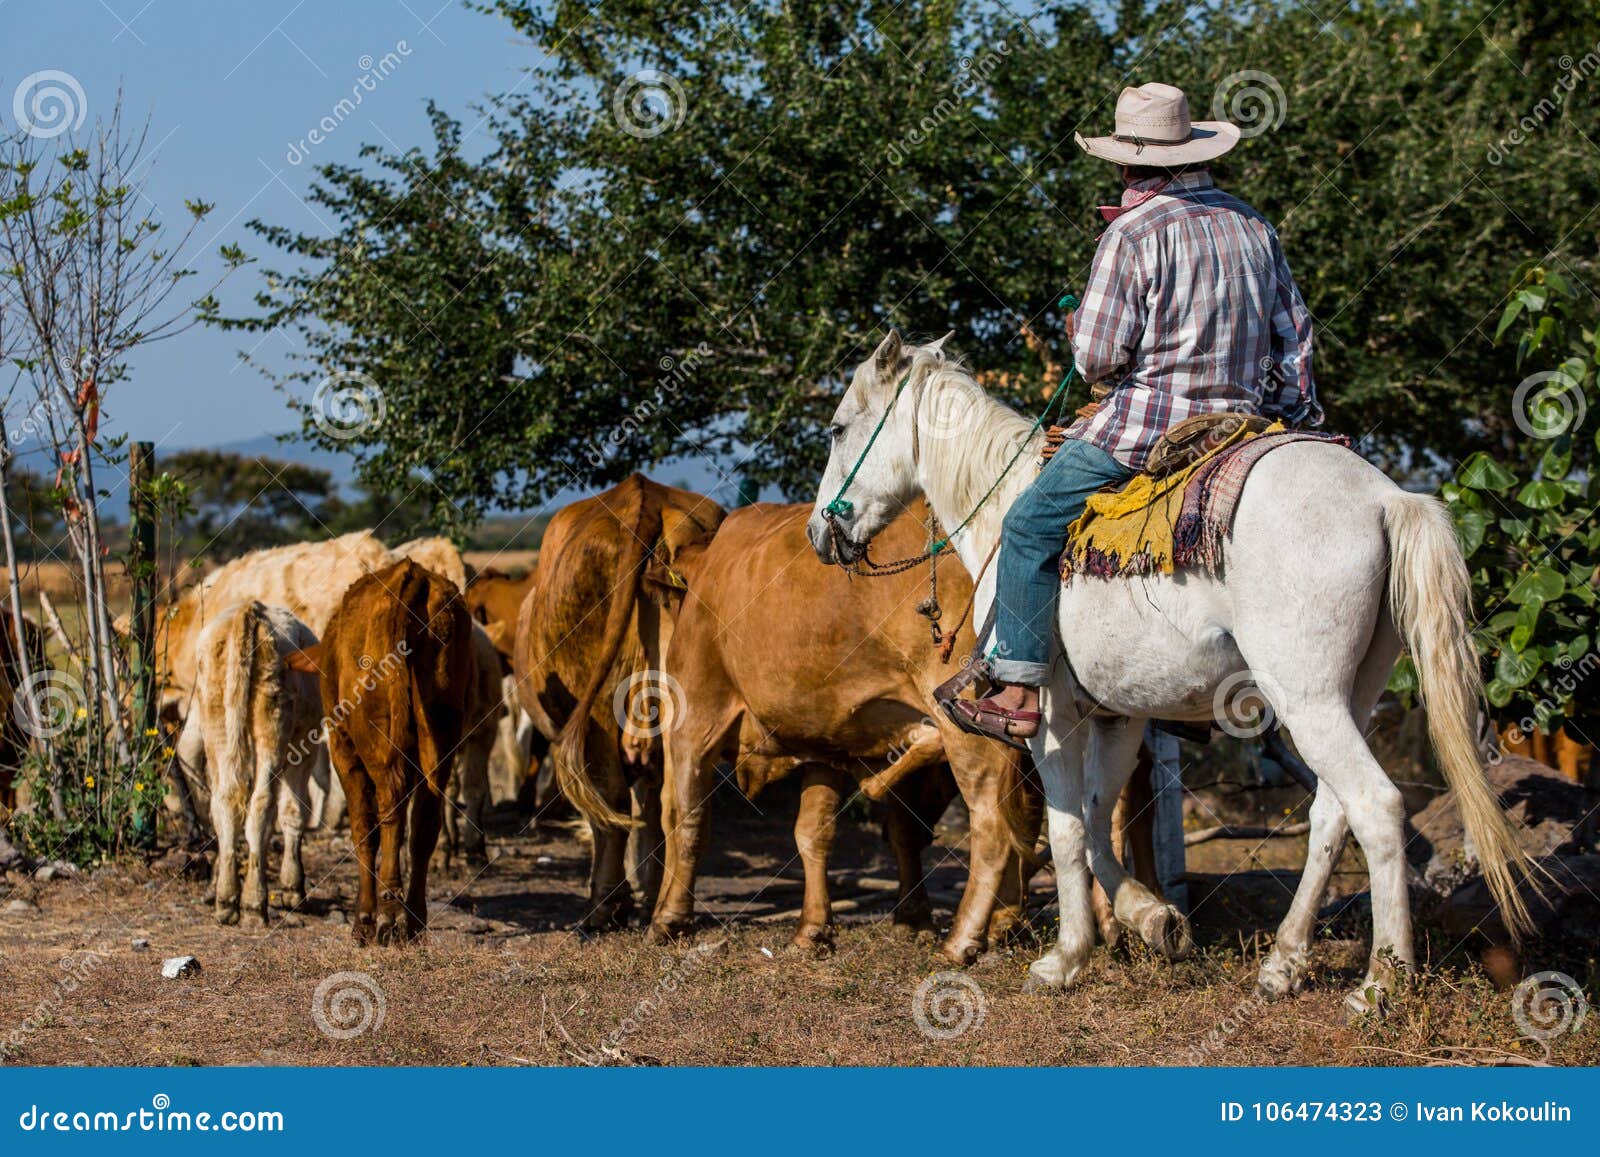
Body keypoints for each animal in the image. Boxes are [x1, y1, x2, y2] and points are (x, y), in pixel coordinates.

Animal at [175, 601, 324, 925]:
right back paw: (255, 903)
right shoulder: (306, 744)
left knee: (223, 802)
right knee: (261, 805)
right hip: (273, 727)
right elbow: (294, 810)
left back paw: (226, 898)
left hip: (216, 721)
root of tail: (250, 609)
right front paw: (293, 888)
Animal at [307, 559, 473, 944]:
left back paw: (385, 914)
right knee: (425, 820)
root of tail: (410, 577)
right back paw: (413, 919)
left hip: (374, 740)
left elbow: (363, 828)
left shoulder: (343, 749)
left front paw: (365, 918)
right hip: (441, 731)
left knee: (388, 807)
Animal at [512, 474, 725, 930]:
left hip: (595, 707)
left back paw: (605, 905)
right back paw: (664, 911)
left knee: (609, 800)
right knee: (675, 803)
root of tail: (643, 493)